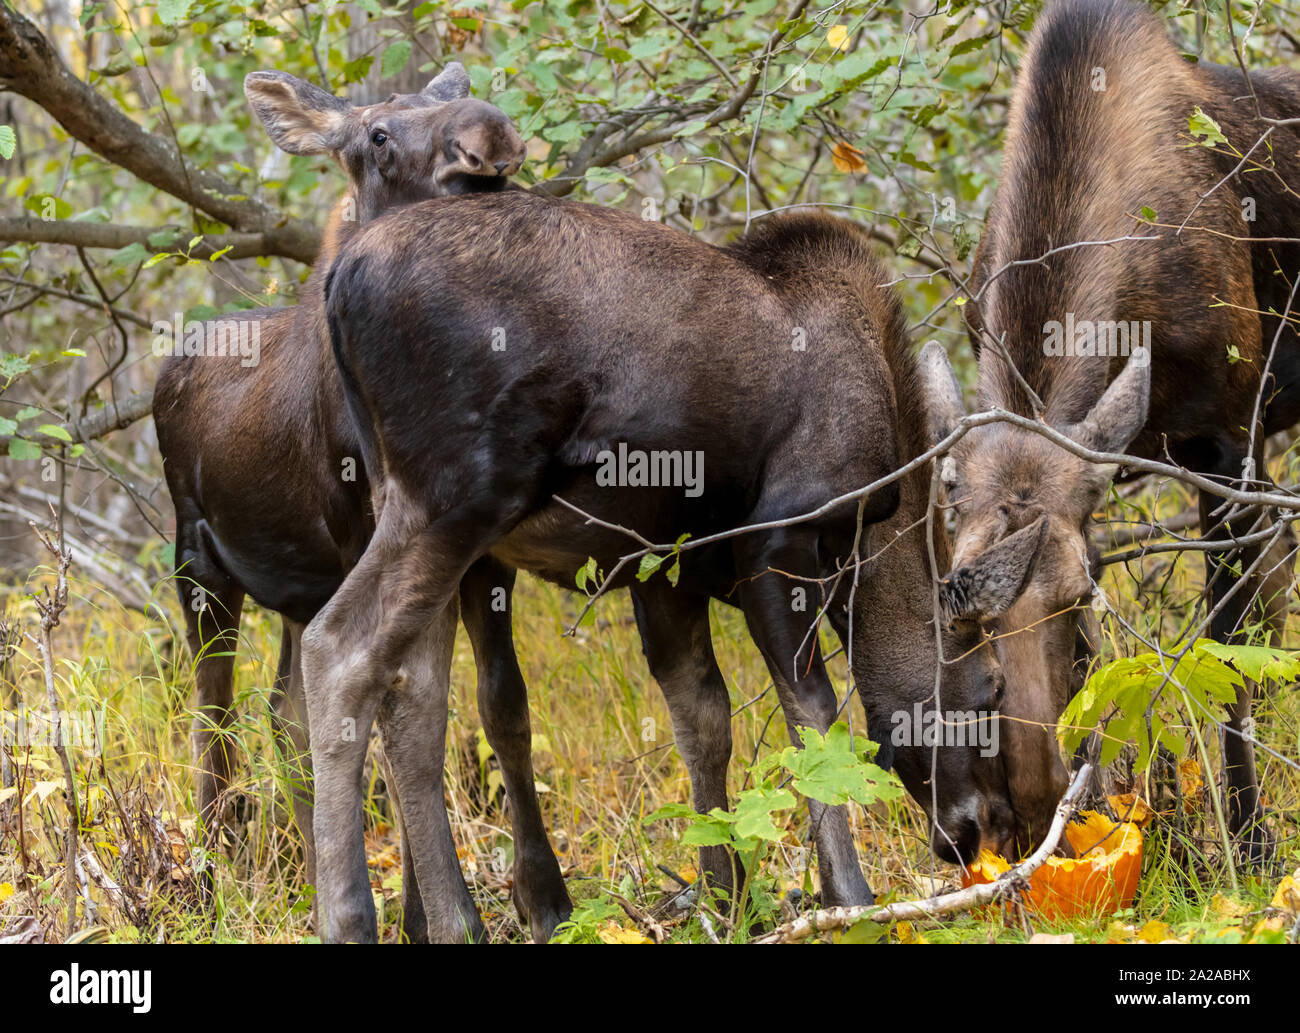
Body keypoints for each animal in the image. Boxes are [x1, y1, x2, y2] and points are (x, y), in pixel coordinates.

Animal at [152, 62, 526, 939]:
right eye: (378, 135)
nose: (488, 139)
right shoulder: (378, 541)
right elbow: (393, 712)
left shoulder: (476, 557)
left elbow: (449, 708)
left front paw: (425, 912)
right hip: (198, 561)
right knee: (213, 712)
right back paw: (216, 876)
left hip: (294, 589)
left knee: (283, 711)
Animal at [304, 193, 1022, 943]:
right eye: (991, 686)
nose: (996, 830)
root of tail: (339, 282)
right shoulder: (779, 537)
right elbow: (813, 715)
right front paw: (849, 897)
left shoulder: (666, 567)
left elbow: (703, 719)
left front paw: (724, 894)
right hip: (456, 496)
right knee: (338, 649)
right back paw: (350, 917)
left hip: (422, 512)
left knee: (414, 694)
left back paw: (457, 919)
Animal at [920, 0, 1300, 863]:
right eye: (955, 622)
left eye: (1079, 590)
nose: (1026, 810)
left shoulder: (1225, 439)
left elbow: (1228, 656)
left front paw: (1251, 841)